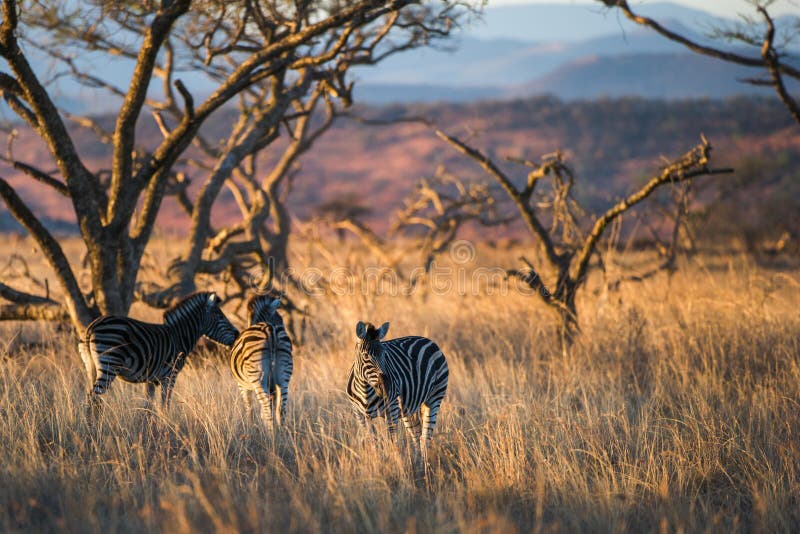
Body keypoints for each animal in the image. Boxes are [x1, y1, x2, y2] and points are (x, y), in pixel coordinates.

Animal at [79, 291, 239, 410]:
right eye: (220, 317)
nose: (237, 334)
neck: (179, 336)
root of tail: (91, 326)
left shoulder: (151, 379)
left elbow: (148, 407)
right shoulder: (170, 376)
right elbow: (164, 405)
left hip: (92, 367)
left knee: (93, 398)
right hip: (109, 363)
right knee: (92, 397)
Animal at [229, 295, 293, 426]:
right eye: (280, 319)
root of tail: (271, 330)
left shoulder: (242, 386)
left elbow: (249, 409)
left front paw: (251, 427)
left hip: (257, 377)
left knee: (266, 408)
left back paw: (270, 432)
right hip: (284, 375)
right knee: (281, 409)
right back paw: (281, 431)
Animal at [346, 321, 449, 464]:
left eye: (385, 354)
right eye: (366, 355)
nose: (387, 387)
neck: (365, 390)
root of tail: (428, 340)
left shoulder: (392, 410)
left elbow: (392, 442)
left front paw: (393, 465)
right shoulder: (360, 414)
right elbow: (372, 442)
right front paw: (376, 462)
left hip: (435, 397)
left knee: (425, 437)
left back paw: (423, 465)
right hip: (409, 408)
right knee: (416, 435)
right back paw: (417, 463)